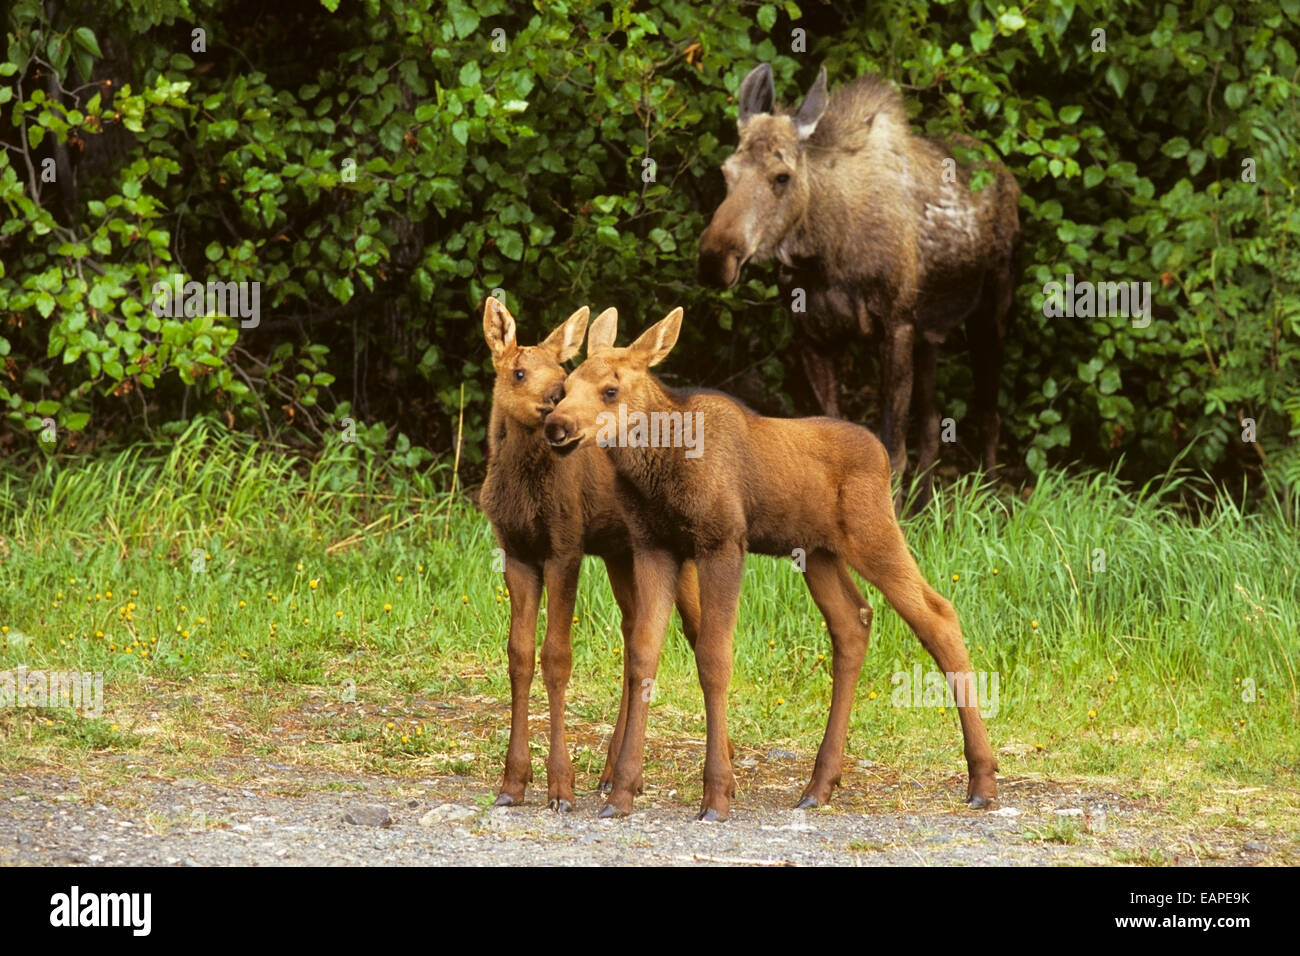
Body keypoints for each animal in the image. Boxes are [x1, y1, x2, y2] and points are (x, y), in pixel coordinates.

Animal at [478, 297, 708, 811]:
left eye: (562, 372)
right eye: (519, 371)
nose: (554, 398)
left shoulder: (565, 546)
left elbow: (557, 657)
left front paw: (560, 787)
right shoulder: (515, 552)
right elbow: (519, 654)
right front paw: (512, 783)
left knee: (696, 635)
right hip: (621, 553)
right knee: (633, 634)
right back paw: (612, 774)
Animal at [542, 306, 997, 821]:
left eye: (611, 390)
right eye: (566, 386)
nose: (557, 426)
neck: (660, 468)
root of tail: (882, 456)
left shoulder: (723, 542)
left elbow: (714, 657)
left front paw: (716, 795)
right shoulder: (654, 546)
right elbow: (642, 655)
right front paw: (620, 792)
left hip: (872, 532)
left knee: (938, 614)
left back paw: (982, 779)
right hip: (818, 553)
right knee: (854, 621)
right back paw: (819, 785)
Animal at [698, 64, 1021, 508]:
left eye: (782, 176)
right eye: (726, 172)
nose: (715, 260)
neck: (823, 253)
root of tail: (1006, 174)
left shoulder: (896, 327)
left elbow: (893, 449)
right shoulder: (813, 337)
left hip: (993, 306)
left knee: (989, 414)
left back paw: (989, 504)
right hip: (929, 334)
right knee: (933, 421)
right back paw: (926, 508)